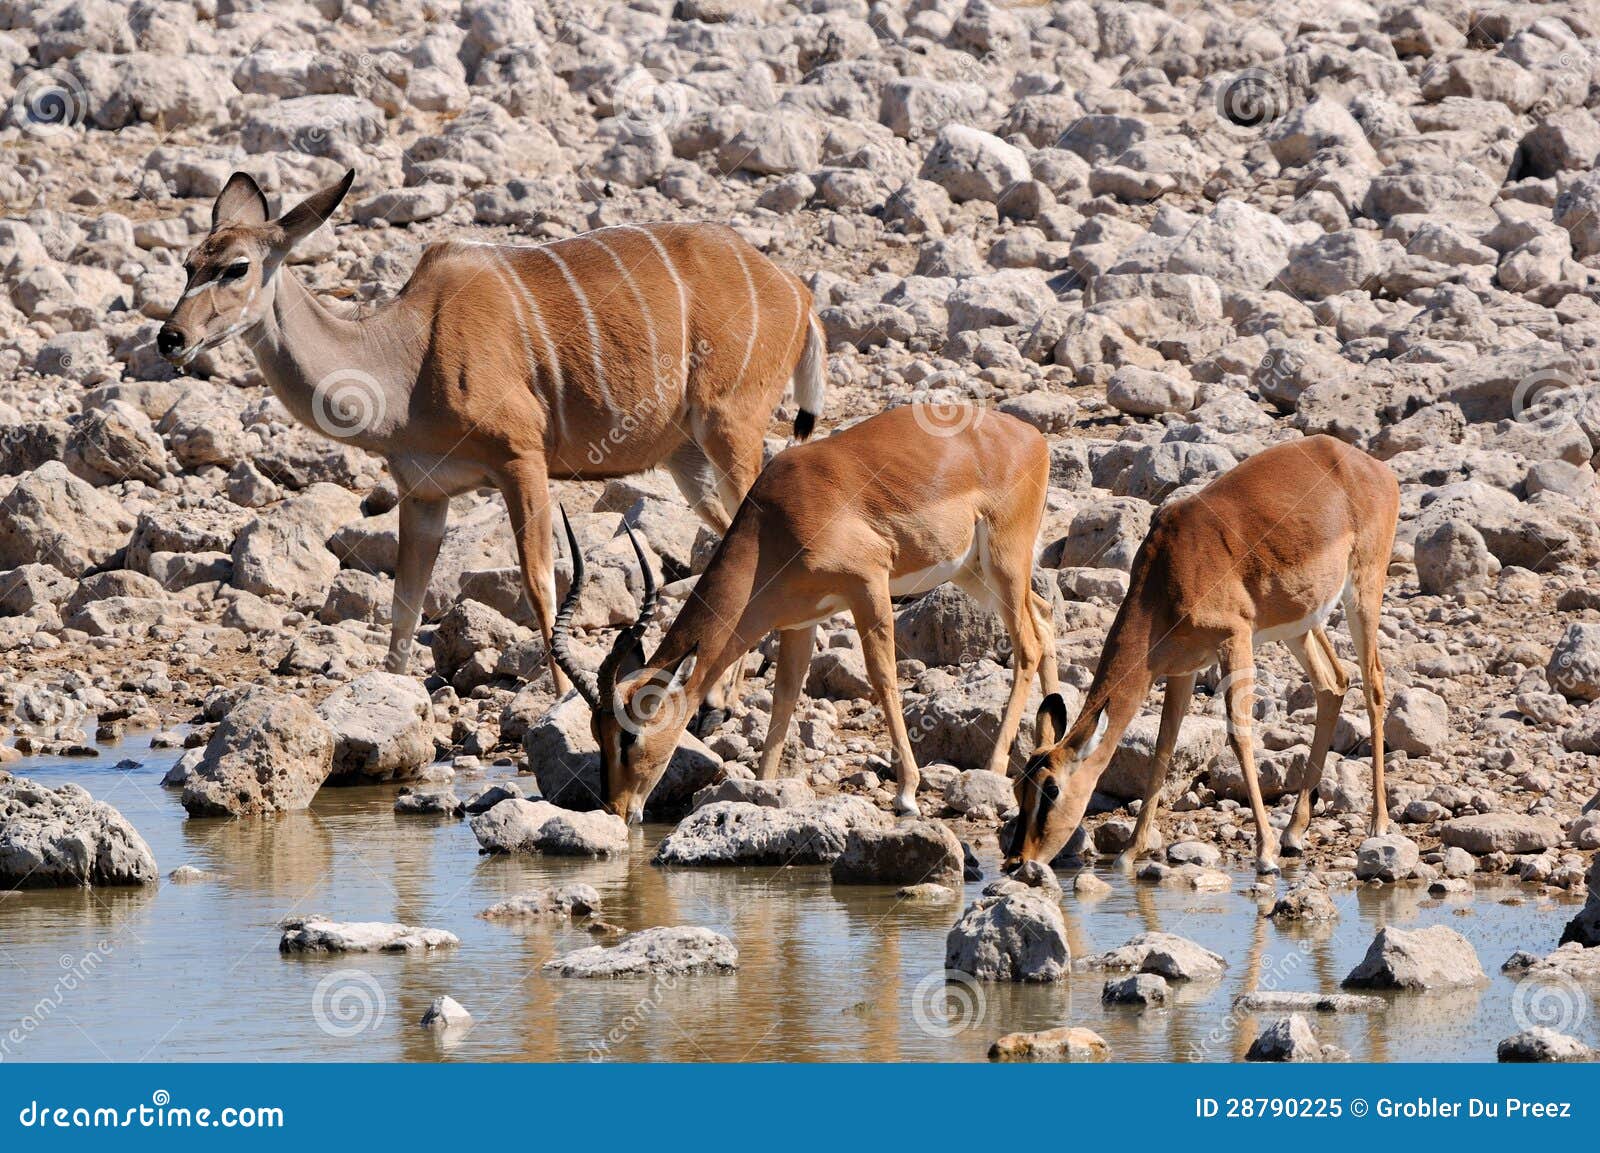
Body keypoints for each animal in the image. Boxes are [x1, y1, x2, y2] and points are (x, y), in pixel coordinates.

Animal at [157, 170, 825, 689]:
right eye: (187, 264)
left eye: (236, 267)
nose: (170, 338)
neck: (406, 357)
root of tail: (798, 291)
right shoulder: (423, 492)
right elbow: (405, 603)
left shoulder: (520, 459)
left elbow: (540, 584)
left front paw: (559, 696)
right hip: (688, 458)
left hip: (729, 427)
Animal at [550, 404, 1060, 823]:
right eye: (596, 733)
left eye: (628, 736)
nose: (616, 809)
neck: (775, 523)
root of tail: (1030, 436)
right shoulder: (800, 621)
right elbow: (785, 697)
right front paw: (761, 788)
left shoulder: (868, 586)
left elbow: (884, 679)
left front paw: (907, 795)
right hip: (973, 572)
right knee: (1045, 615)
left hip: (1003, 563)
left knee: (1028, 643)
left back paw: (993, 768)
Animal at [1005, 434, 1400, 876]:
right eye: (1018, 786)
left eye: (1052, 789)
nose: (1017, 861)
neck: (1170, 571)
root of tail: (1368, 465)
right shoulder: (1181, 670)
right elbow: (1164, 747)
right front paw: (1129, 853)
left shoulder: (1234, 640)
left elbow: (1240, 735)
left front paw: (1264, 855)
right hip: (1300, 625)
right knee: (1333, 685)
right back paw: (1294, 833)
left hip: (1362, 593)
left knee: (1374, 685)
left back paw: (1378, 825)